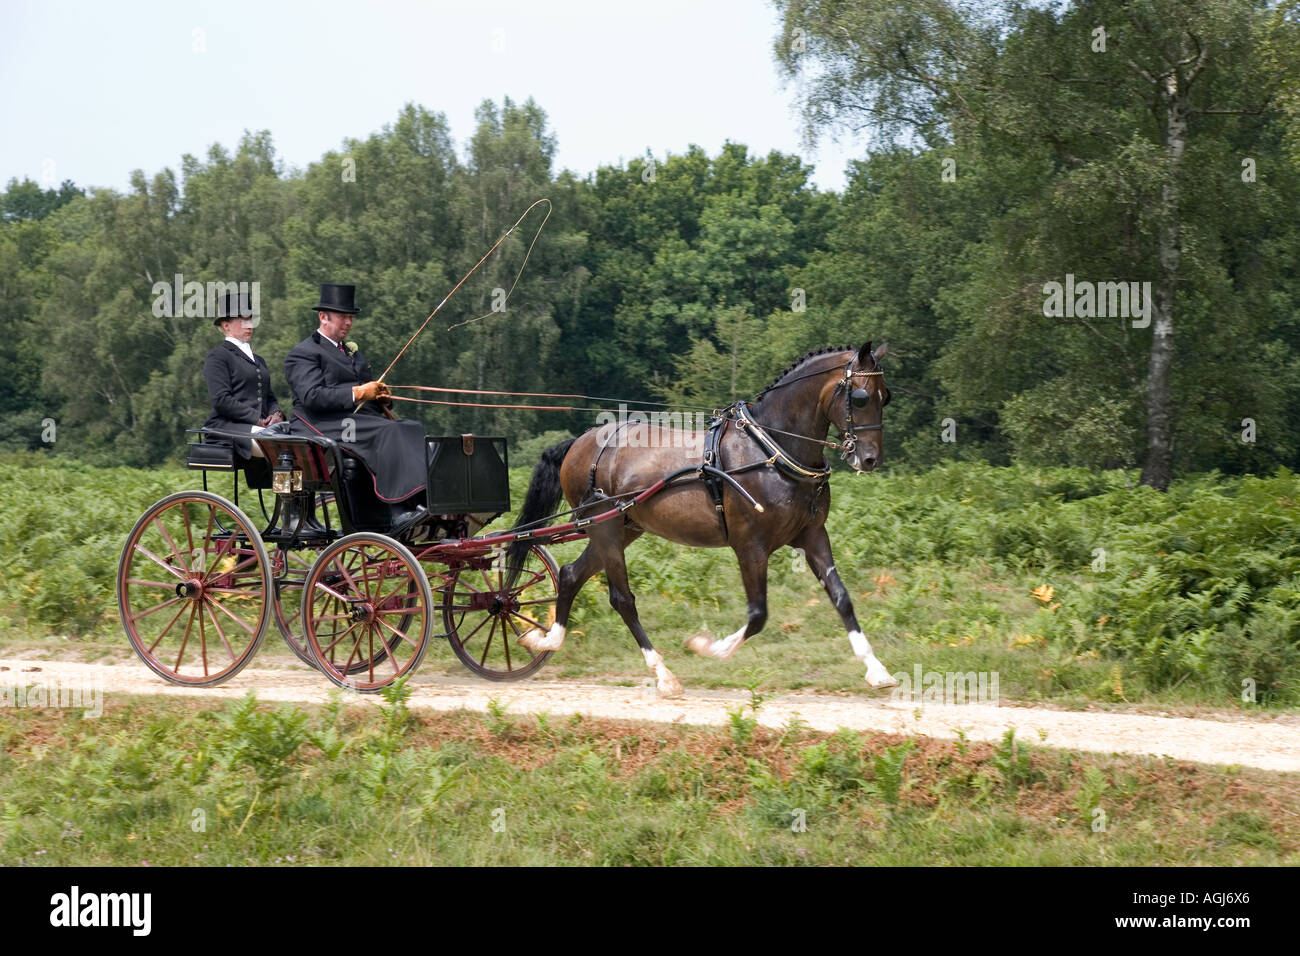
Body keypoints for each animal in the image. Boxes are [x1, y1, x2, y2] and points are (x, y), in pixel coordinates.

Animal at [506, 340, 899, 697]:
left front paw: (877, 670)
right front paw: (707, 646)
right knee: (622, 599)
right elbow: (758, 614)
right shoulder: (750, 545)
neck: (770, 449)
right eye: (860, 397)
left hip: (624, 528)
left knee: (570, 575)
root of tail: (580, 443)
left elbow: (841, 598)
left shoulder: (812, 536)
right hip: (605, 527)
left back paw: (546, 640)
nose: (869, 459)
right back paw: (662, 673)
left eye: (886, 396)